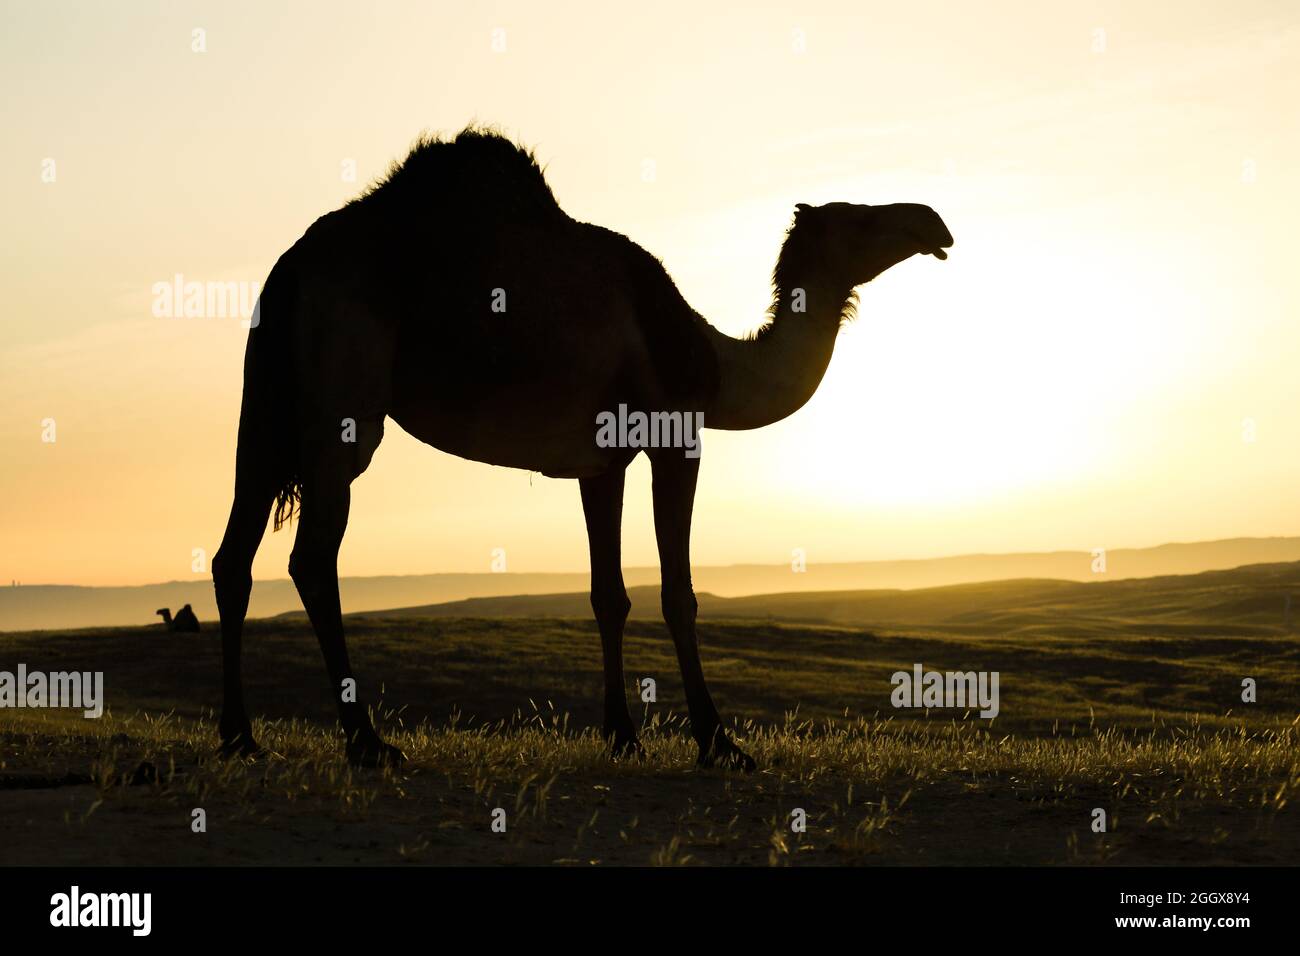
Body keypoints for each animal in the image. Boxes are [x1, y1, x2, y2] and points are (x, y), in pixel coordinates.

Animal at [213, 128, 952, 769]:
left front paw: (623, 735)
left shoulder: (604, 461)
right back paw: (367, 743)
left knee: (233, 557)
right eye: (860, 220)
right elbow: (678, 594)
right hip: (342, 400)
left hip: (267, 410)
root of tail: (289, 272)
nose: (934, 224)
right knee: (312, 558)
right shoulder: (676, 434)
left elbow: (609, 595)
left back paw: (241, 738)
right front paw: (719, 743)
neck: (715, 363)